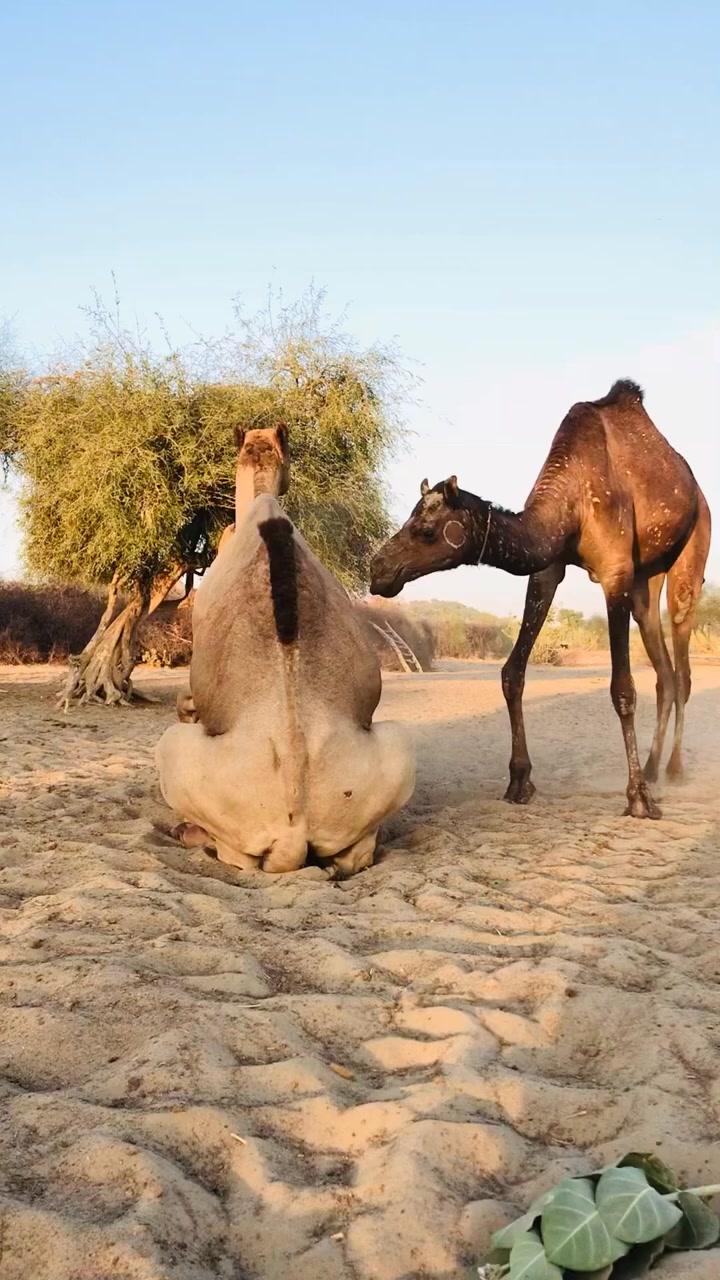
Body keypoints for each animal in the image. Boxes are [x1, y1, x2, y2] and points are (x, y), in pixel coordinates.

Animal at [156, 424, 415, 876]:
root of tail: (295, 830)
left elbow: (188, 702)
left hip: (177, 754)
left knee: (234, 854)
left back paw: (188, 831)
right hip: (398, 750)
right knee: (358, 851)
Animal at [370, 380, 711, 819]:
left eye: (427, 530)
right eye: (409, 518)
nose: (379, 570)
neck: (572, 501)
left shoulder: (615, 572)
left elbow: (622, 688)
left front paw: (637, 797)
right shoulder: (548, 568)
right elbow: (512, 673)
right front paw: (519, 781)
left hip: (691, 551)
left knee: (682, 663)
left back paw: (673, 770)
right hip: (645, 581)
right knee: (663, 670)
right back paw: (653, 768)